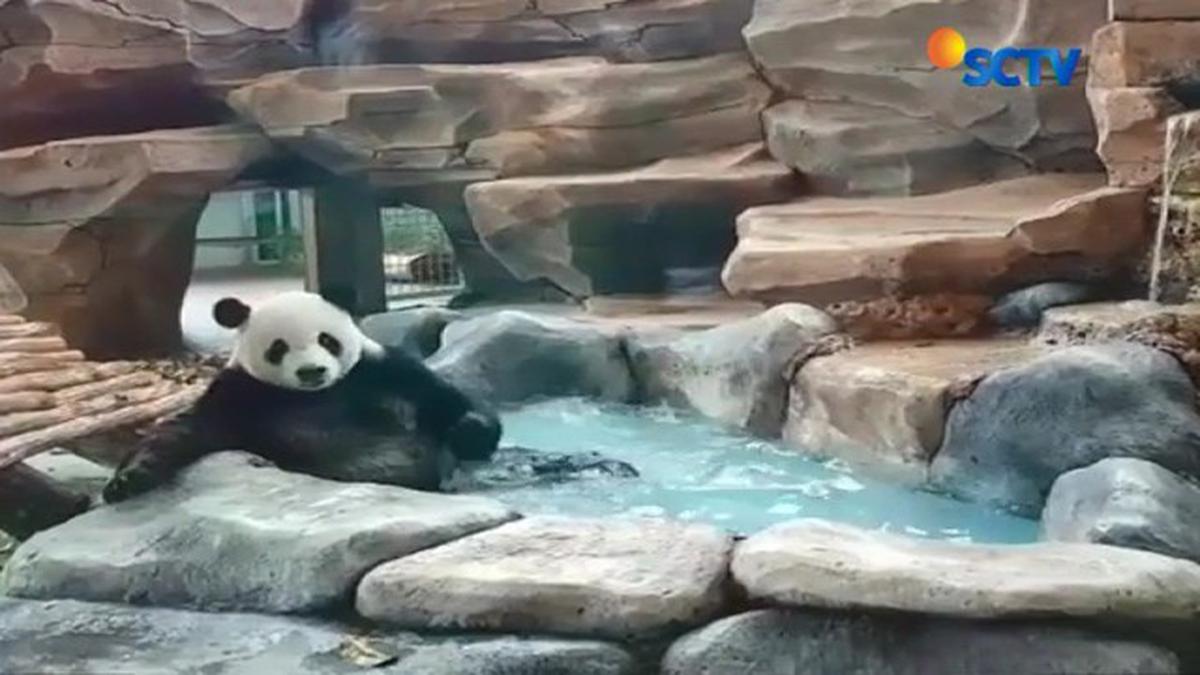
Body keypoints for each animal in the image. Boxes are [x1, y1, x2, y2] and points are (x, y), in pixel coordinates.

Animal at [102, 291, 500, 503]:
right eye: (279, 347)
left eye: (327, 339)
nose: (312, 372)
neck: (314, 396)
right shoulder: (239, 392)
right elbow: (183, 431)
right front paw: (127, 481)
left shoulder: (379, 369)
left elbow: (444, 399)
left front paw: (470, 430)